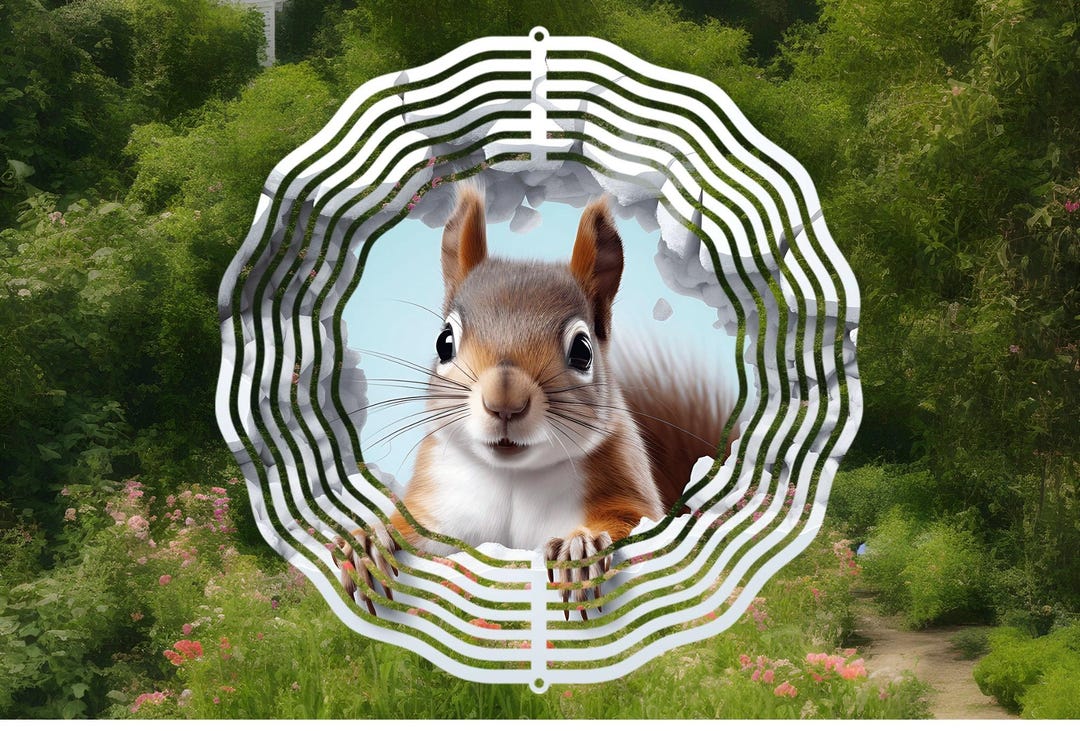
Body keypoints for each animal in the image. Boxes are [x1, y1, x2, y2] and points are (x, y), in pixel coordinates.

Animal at [334, 186, 733, 618]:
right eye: (444, 342)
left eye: (583, 350)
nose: (504, 402)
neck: (514, 477)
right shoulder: (441, 505)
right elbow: (414, 530)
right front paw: (371, 539)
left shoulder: (628, 490)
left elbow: (630, 522)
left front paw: (580, 549)